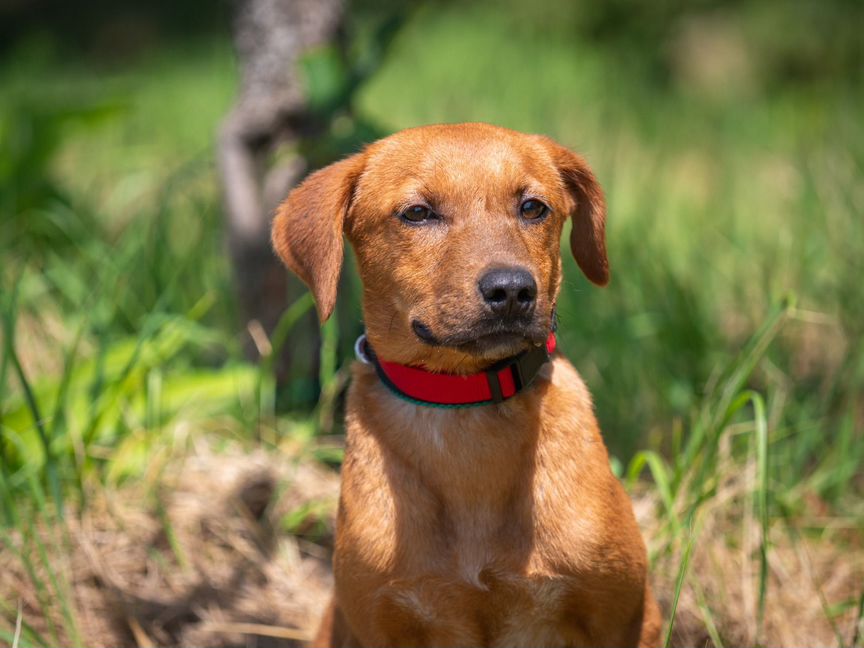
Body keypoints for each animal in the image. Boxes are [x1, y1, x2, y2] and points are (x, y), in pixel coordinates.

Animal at [272, 123, 660, 648]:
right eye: (417, 213)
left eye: (533, 207)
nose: (512, 290)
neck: (464, 411)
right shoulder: (379, 622)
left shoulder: (628, 619)